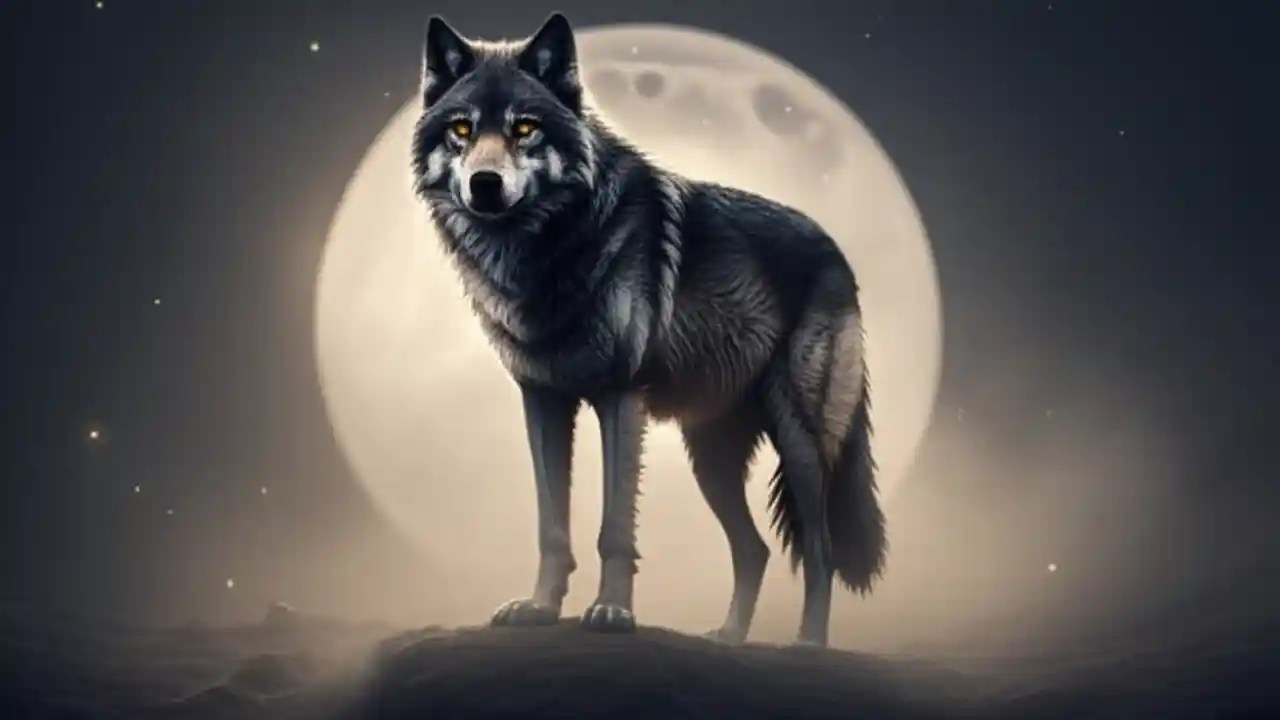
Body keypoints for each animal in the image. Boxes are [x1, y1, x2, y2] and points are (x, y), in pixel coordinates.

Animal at [411, 13, 885, 646]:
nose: (484, 183)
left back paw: (808, 646)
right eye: (461, 129)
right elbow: (551, 524)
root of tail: (838, 253)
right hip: (710, 457)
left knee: (819, 548)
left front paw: (612, 611)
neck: (543, 249)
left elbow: (614, 528)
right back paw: (727, 638)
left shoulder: (620, 396)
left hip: (799, 441)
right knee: (754, 549)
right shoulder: (542, 400)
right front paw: (540, 607)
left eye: (525, 128)